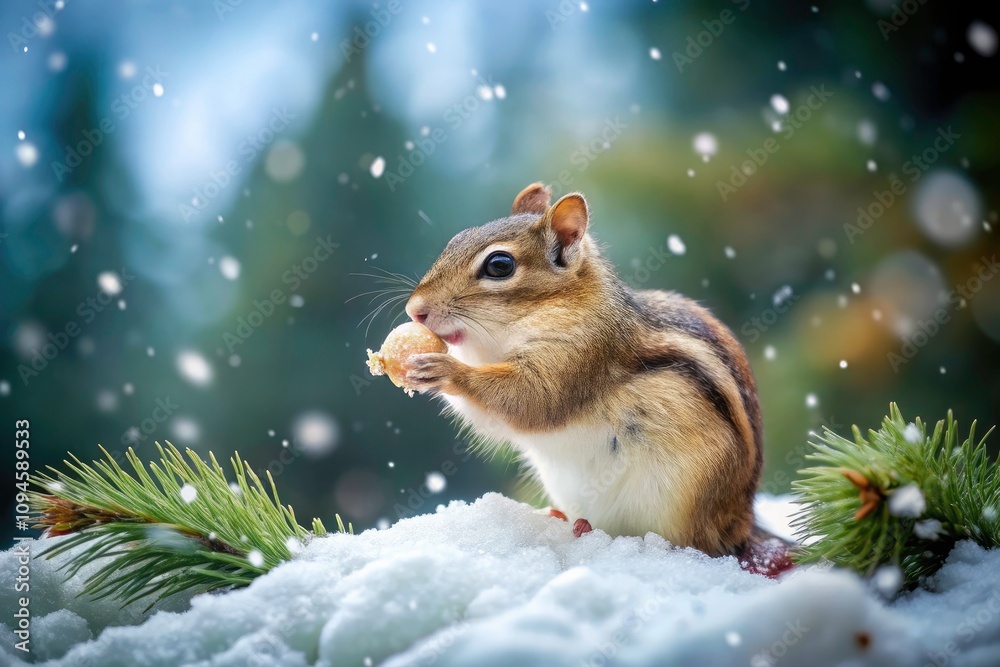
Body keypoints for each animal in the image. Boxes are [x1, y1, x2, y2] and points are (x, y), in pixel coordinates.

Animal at [403, 183, 789, 568]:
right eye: (455, 240)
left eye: (500, 265)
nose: (415, 310)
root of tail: (741, 525)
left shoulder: (579, 355)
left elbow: (530, 401)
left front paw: (445, 369)